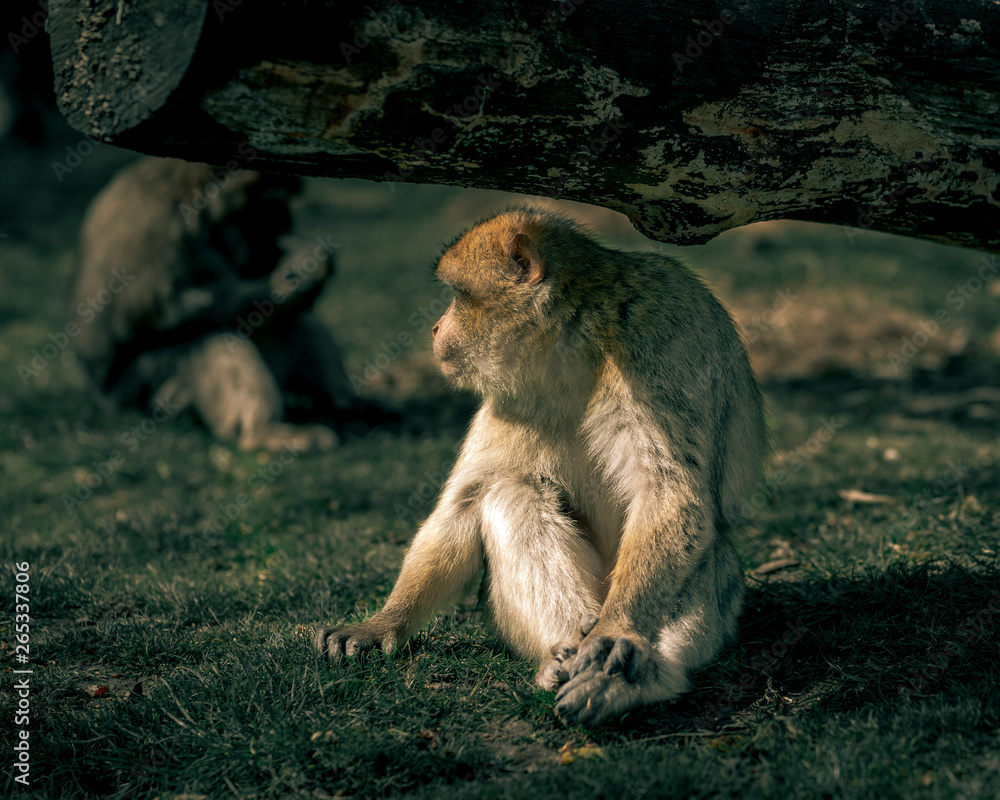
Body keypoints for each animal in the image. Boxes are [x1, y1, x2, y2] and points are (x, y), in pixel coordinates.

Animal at [70, 156, 363, 452]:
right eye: (269, 206)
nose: (286, 223)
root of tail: (104, 401)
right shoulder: (154, 228)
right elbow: (160, 314)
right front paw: (292, 279)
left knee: (289, 319)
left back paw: (347, 399)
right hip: (146, 395)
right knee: (208, 335)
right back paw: (263, 431)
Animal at [316, 205, 766, 726]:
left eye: (457, 296)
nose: (435, 328)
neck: (573, 341)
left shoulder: (654, 343)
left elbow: (670, 492)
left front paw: (618, 630)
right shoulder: (509, 399)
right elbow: (463, 505)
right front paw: (381, 623)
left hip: (720, 596)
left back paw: (634, 679)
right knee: (510, 493)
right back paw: (562, 654)